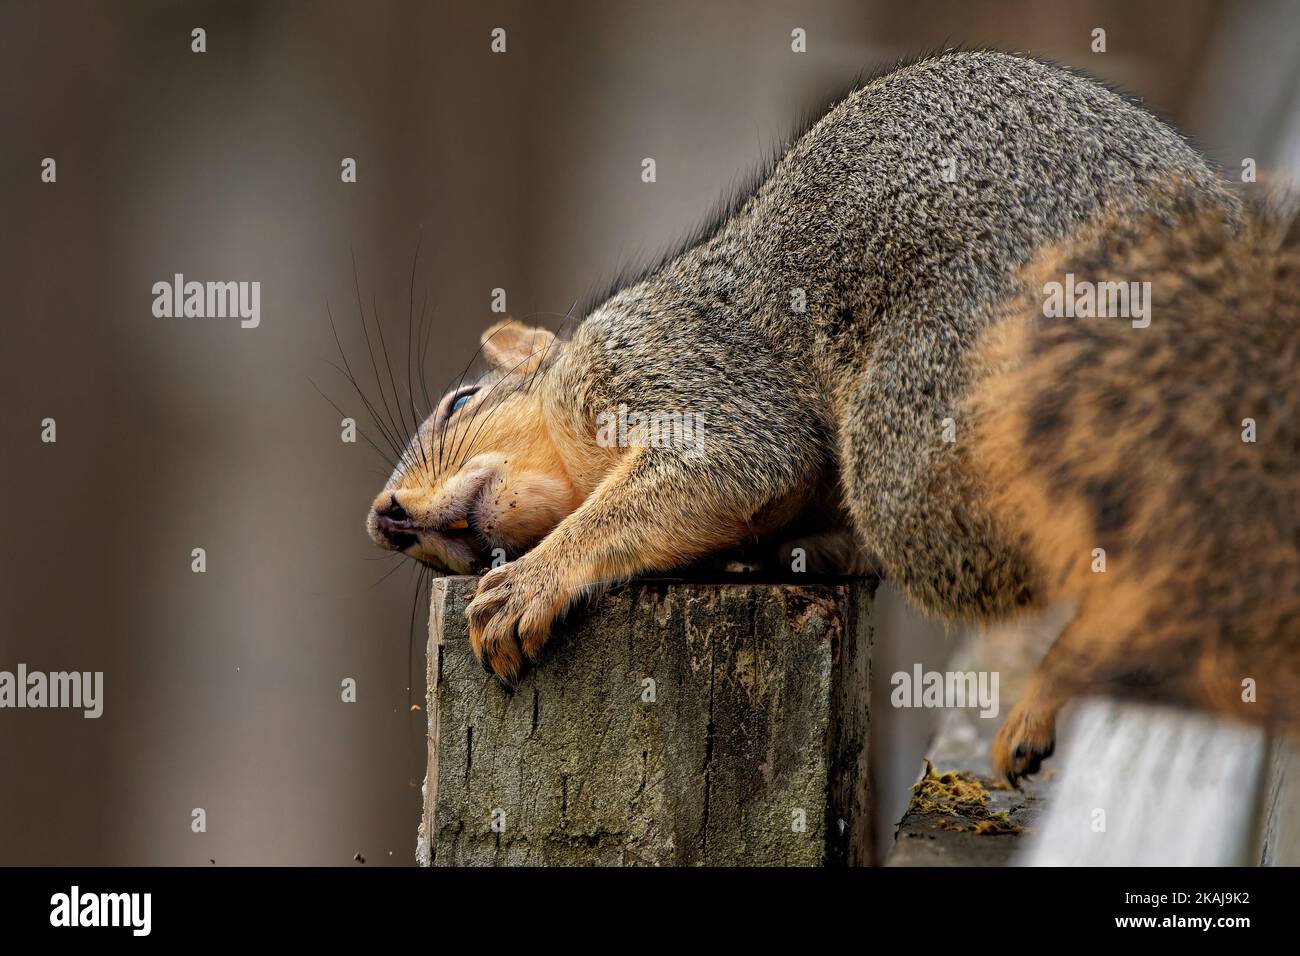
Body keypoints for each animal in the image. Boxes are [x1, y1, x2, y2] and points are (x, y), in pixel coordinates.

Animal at [365, 50, 1294, 784]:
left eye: (460, 401)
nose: (385, 519)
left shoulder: (681, 367)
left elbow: (727, 461)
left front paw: (531, 580)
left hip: (927, 429)